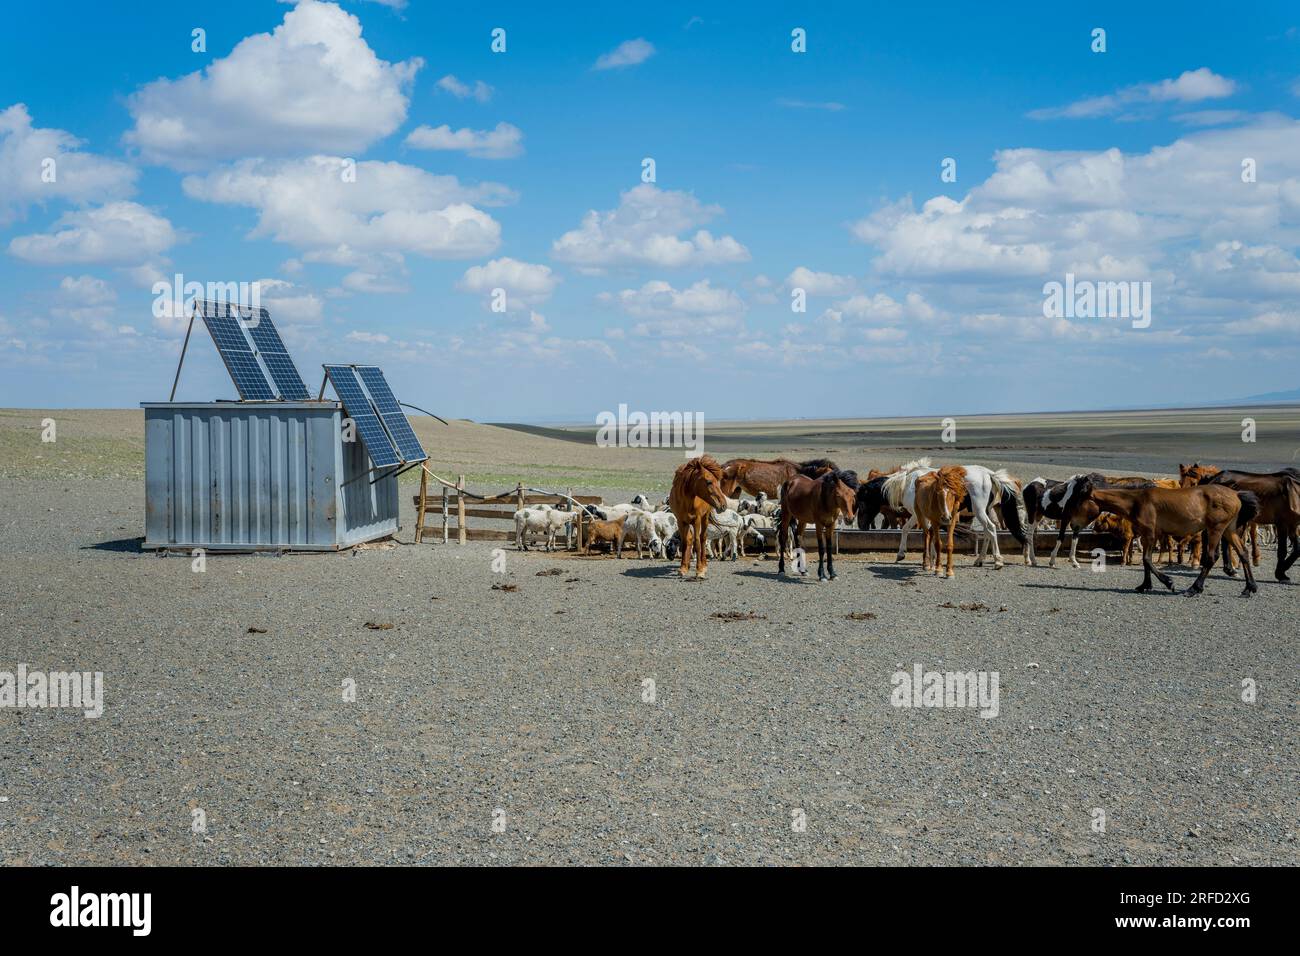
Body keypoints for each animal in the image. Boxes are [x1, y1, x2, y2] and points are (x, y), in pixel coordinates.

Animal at [1076, 477, 1259, 596]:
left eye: (1079, 502)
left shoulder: (1149, 534)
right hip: (1229, 530)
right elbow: (1146, 561)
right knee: (1243, 553)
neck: (1137, 501)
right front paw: (1145, 585)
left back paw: (1194, 588)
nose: (1074, 525)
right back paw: (1249, 588)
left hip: (1216, 529)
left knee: (1212, 556)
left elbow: (1147, 559)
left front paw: (1168, 582)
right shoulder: (1150, 535)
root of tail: (1236, 495)